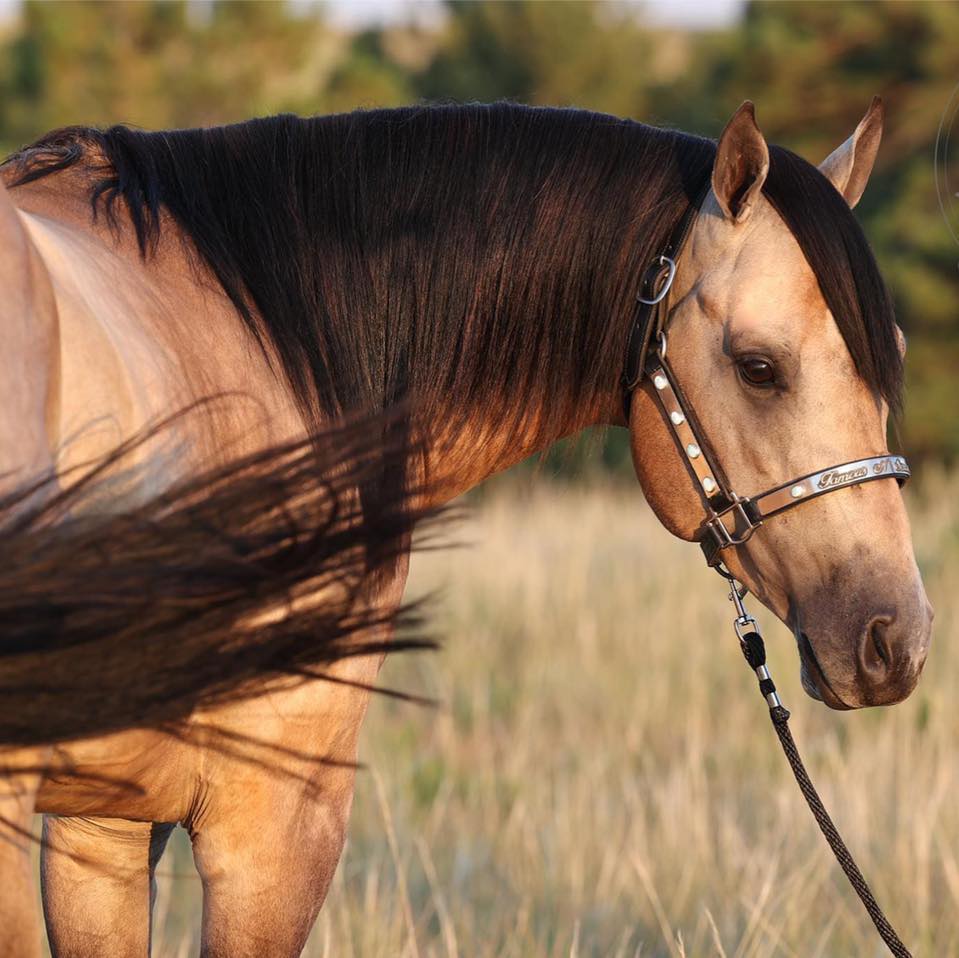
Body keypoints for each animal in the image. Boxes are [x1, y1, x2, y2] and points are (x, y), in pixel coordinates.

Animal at [0, 97, 932, 956]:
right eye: (758, 368)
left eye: (889, 353)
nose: (896, 640)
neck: (268, 344)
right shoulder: (271, 818)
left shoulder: (105, 830)